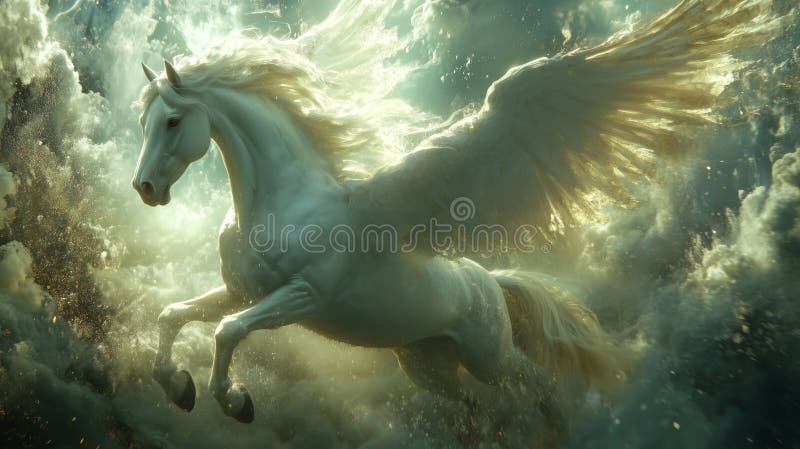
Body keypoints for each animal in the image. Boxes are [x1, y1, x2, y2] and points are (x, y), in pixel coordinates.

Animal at [131, 0, 780, 428]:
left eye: (172, 121)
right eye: (143, 121)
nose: (143, 189)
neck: (283, 202)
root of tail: (490, 281)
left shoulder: (300, 297)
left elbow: (226, 330)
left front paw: (234, 399)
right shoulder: (242, 291)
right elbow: (172, 316)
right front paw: (179, 386)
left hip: (488, 355)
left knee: (535, 381)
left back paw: (558, 426)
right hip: (428, 366)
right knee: (474, 406)